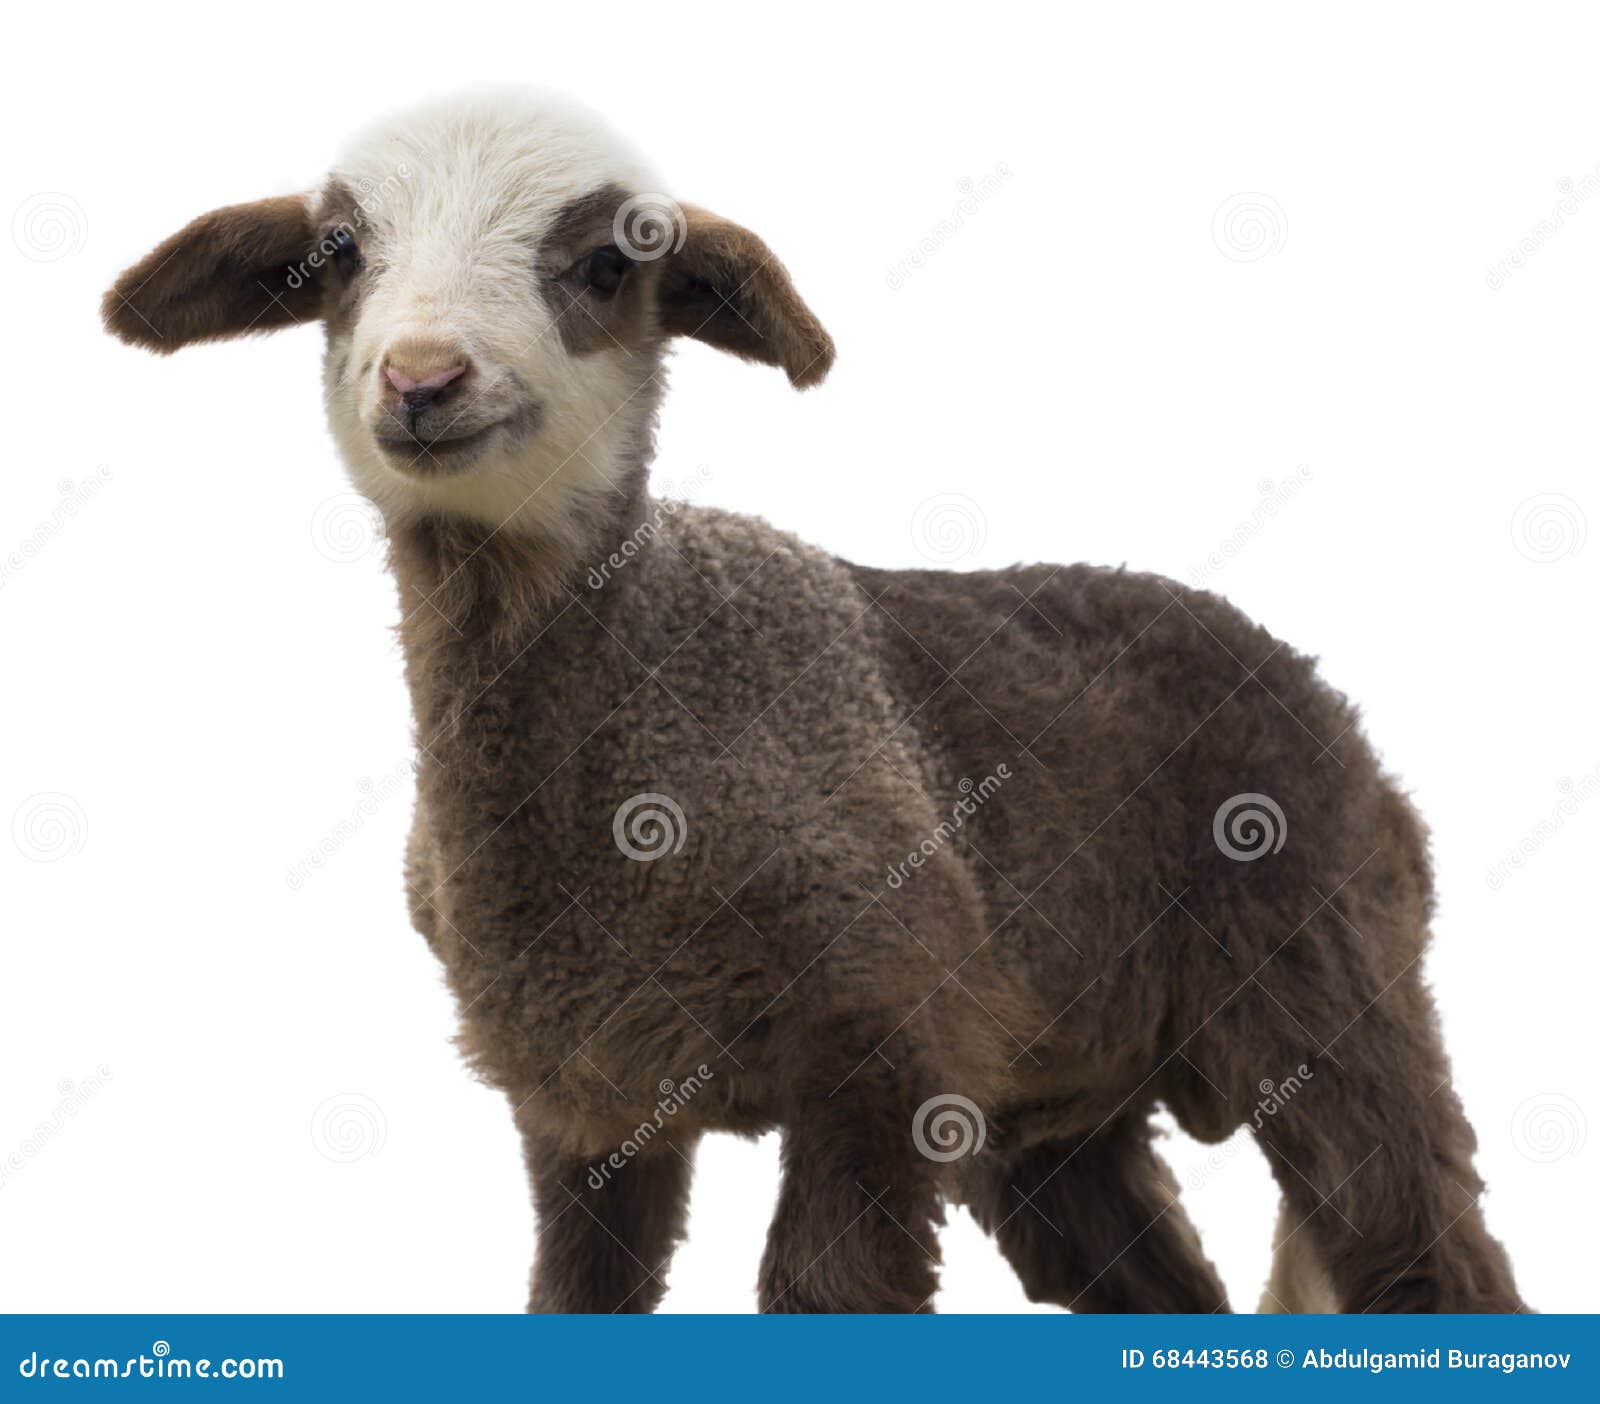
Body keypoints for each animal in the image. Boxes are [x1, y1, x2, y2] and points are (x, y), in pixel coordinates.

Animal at [102, 88, 1526, 1314]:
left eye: (610, 264)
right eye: (338, 250)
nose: (422, 379)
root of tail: (1333, 710)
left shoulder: (884, 1034)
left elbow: (823, 1291)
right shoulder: (581, 1093)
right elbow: (576, 1297)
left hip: (1330, 968)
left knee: (1421, 1246)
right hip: (1057, 1098)